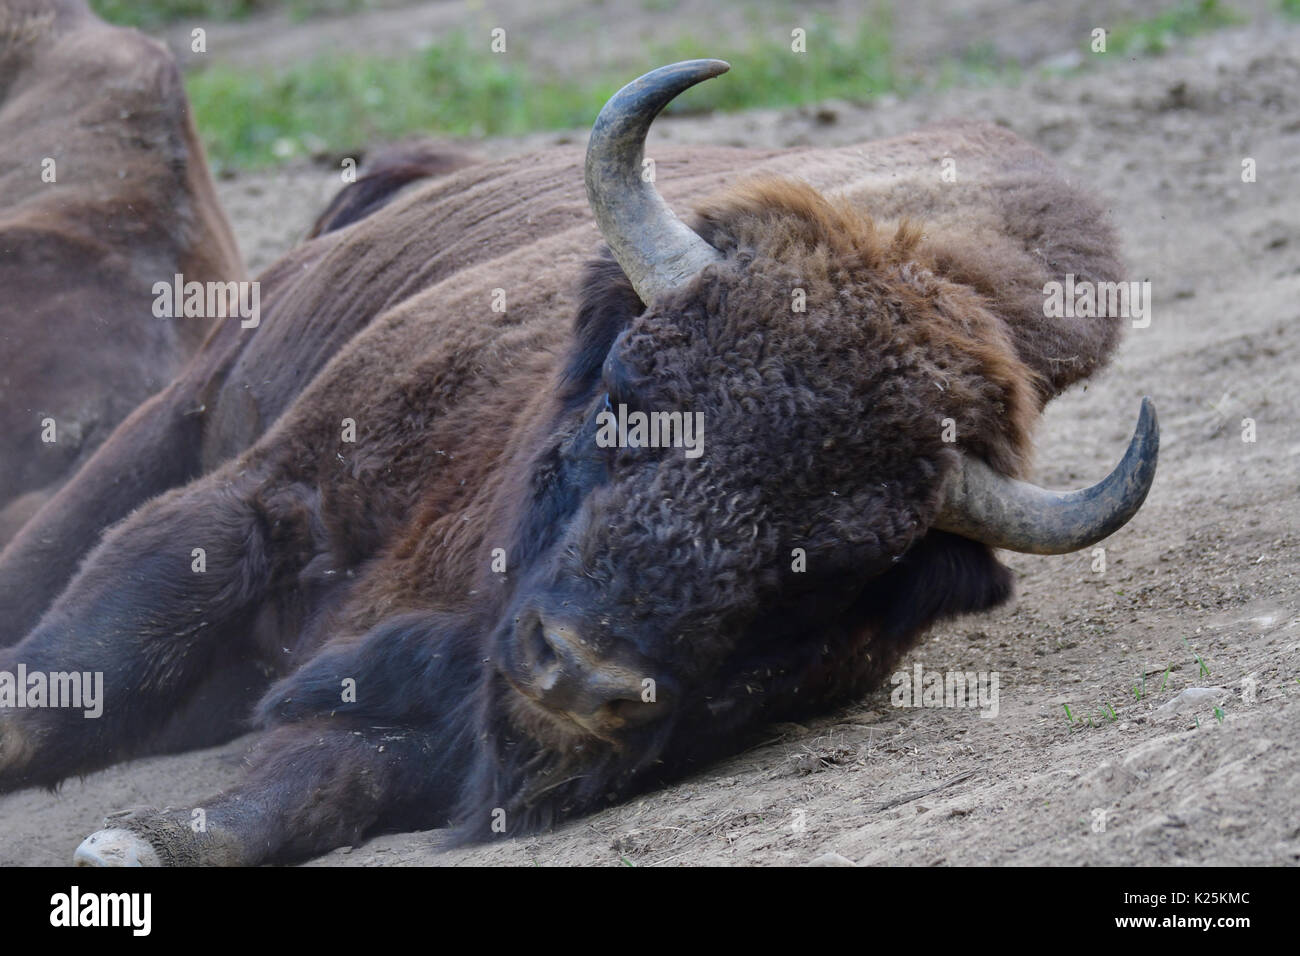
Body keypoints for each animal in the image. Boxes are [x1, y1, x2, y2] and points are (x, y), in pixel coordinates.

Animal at [0, 40, 1157, 865]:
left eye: (839, 567)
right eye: (630, 398)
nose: (581, 675)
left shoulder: (425, 717)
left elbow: (319, 781)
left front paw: (136, 842)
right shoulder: (252, 504)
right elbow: (74, 670)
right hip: (184, 409)